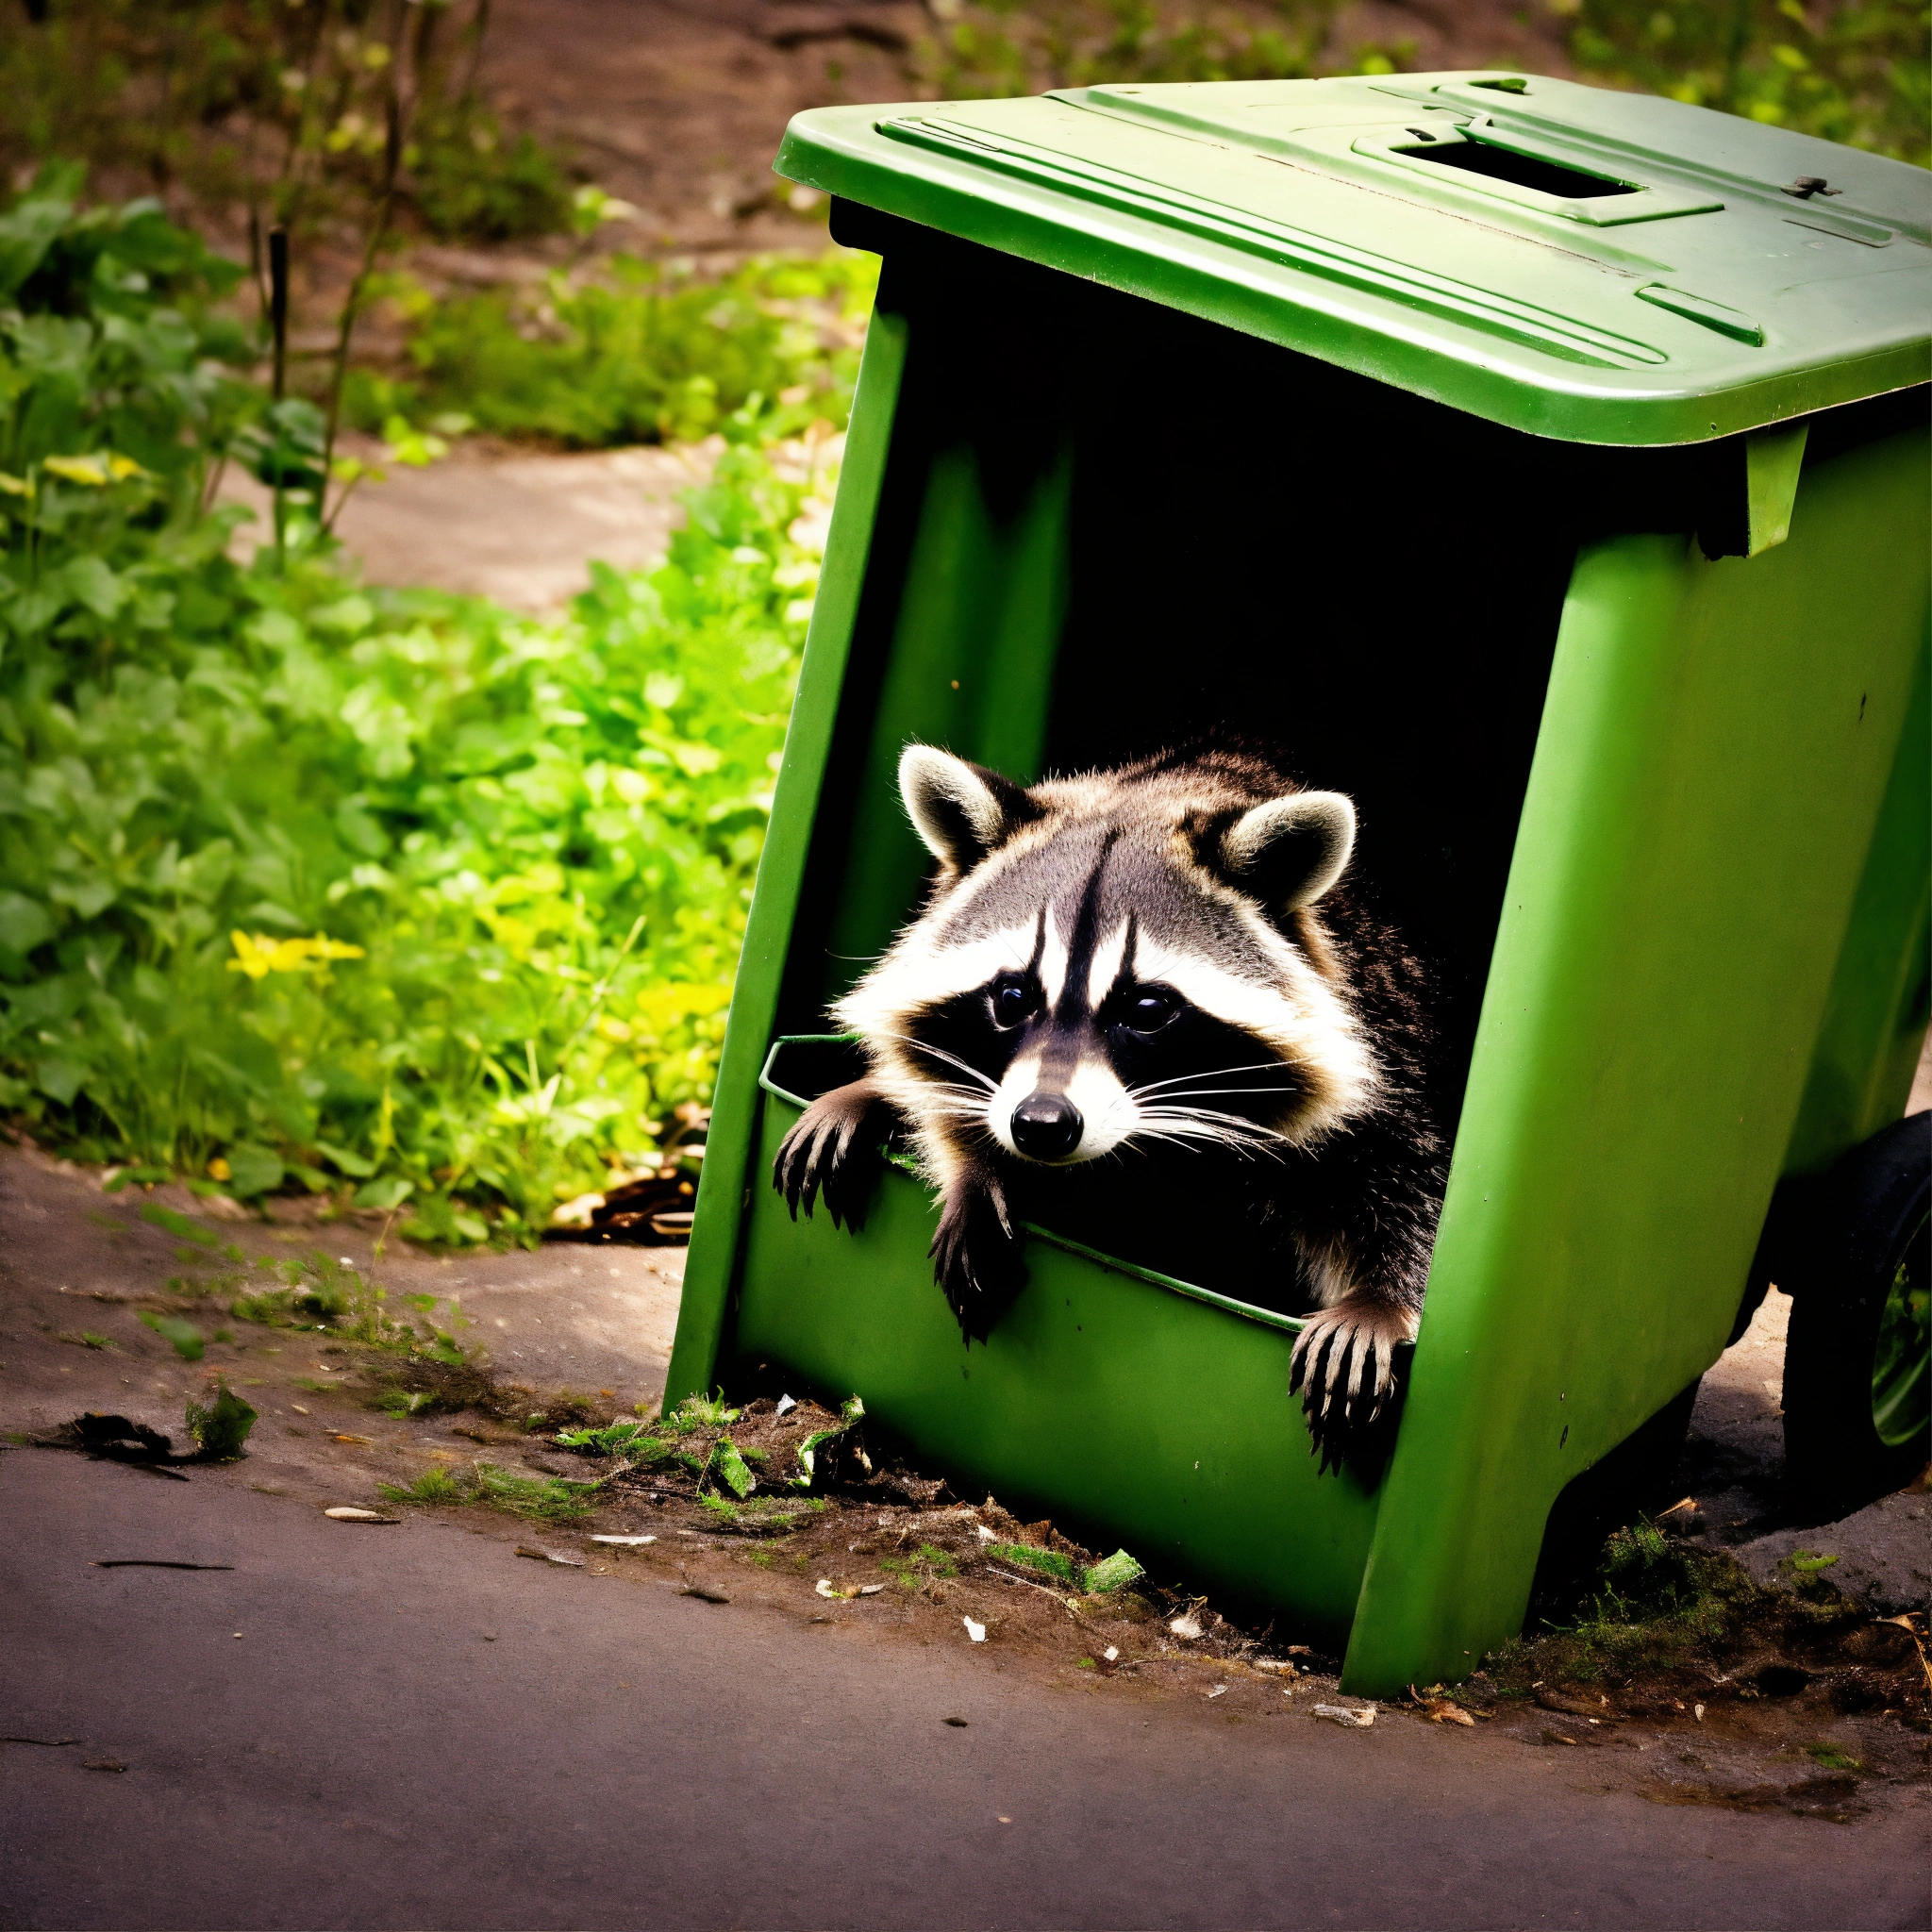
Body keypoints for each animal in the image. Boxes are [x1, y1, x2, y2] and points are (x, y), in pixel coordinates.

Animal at [773, 740, 1446, 1468]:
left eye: (1147, 1009)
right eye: (1013, 998)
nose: (1041, 1125)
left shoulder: (1387, 1044)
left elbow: (1407, 1181)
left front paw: (1381, 1299)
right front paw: (972, 1164)